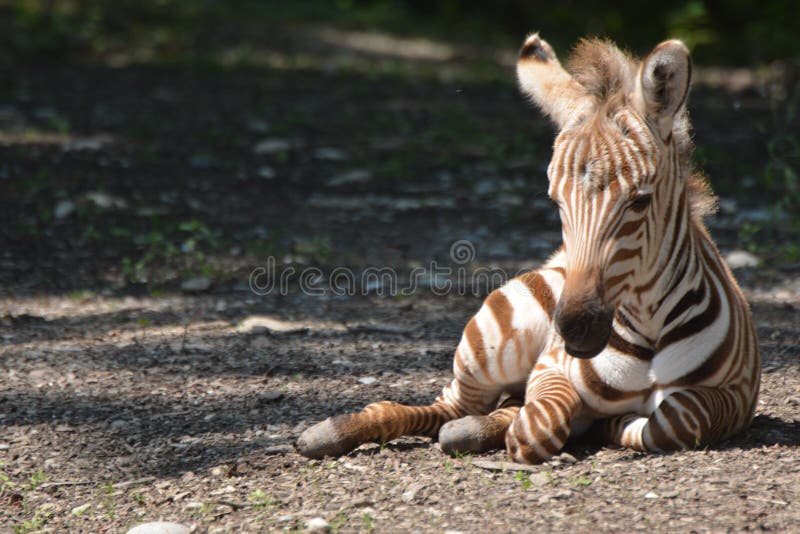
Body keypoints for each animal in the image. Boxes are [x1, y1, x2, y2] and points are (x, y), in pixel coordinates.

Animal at [296, 34, 761, 464]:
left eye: (640, 200)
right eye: (556, 201)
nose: (573, 327)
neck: (647, 323)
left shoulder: (736, 394)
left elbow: (676, 418)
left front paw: (616, 424)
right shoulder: (549, 367)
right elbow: (540, 422)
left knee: (480, 412)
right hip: (489, 345)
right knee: (447, 407)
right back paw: (334, 432)